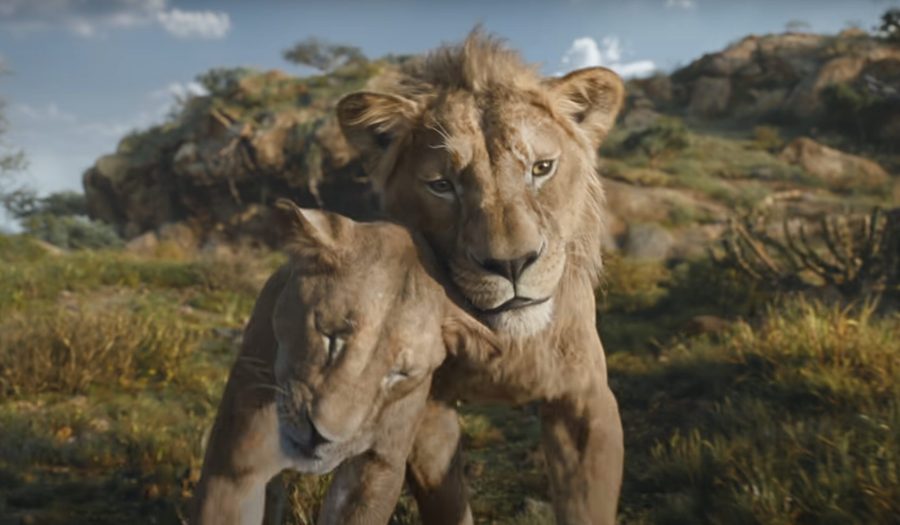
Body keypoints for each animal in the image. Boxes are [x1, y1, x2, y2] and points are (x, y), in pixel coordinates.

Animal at [336, 31, 626, 524]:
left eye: (542, 168)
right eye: (442, 185)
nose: (511, 264)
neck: (507, 345)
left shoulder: (585, 402)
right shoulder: (428, 409)